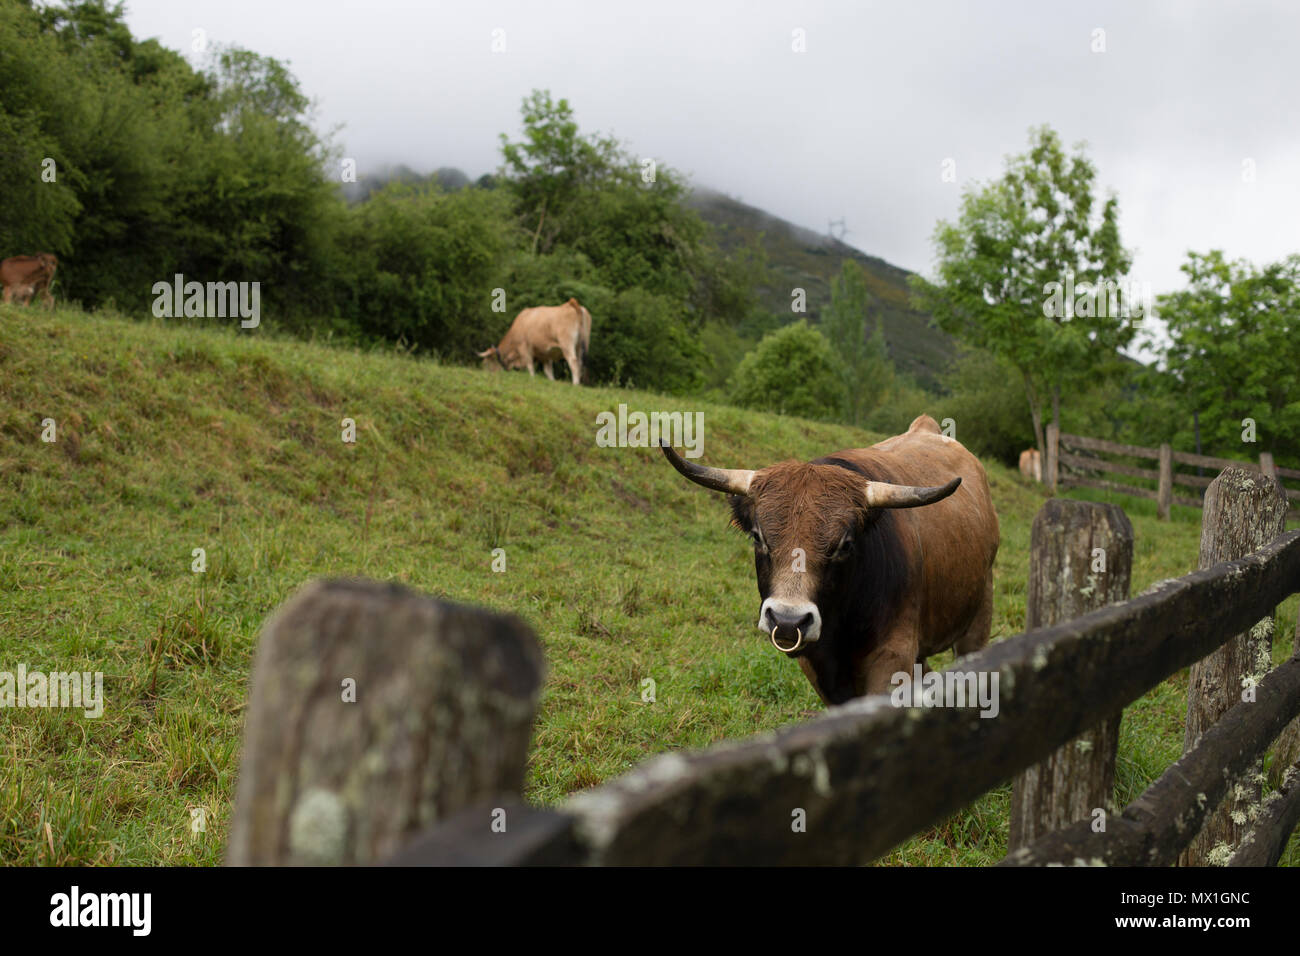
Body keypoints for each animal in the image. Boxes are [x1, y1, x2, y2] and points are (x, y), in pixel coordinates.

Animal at [660, 414, 1000, 706]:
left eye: (845, 544)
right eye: (757, 536)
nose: (787, 620)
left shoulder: (893, 657)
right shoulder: (818, 666)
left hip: (979, 614)